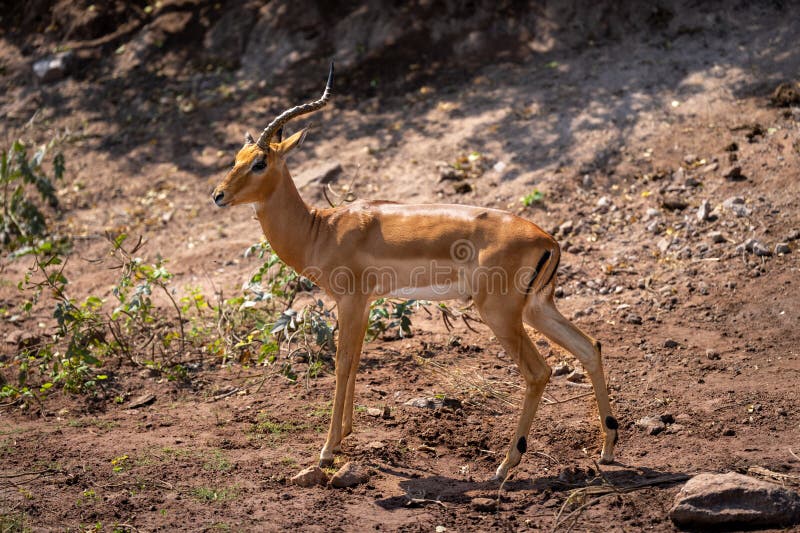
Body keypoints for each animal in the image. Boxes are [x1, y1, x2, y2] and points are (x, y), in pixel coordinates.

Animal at [212, 64, 619, 481]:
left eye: (259, 162)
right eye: (237, 156)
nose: (218, 195)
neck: (321, 229)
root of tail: (548, 240)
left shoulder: (351, 300)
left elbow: (342, 364)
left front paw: (326, 451)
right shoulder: (365, 303)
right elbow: (356, 360)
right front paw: (344, 435)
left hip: (501, 314)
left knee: (539, 371)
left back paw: (505, 465)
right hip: (537, 308)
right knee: (590, 347)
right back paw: (606, 450)